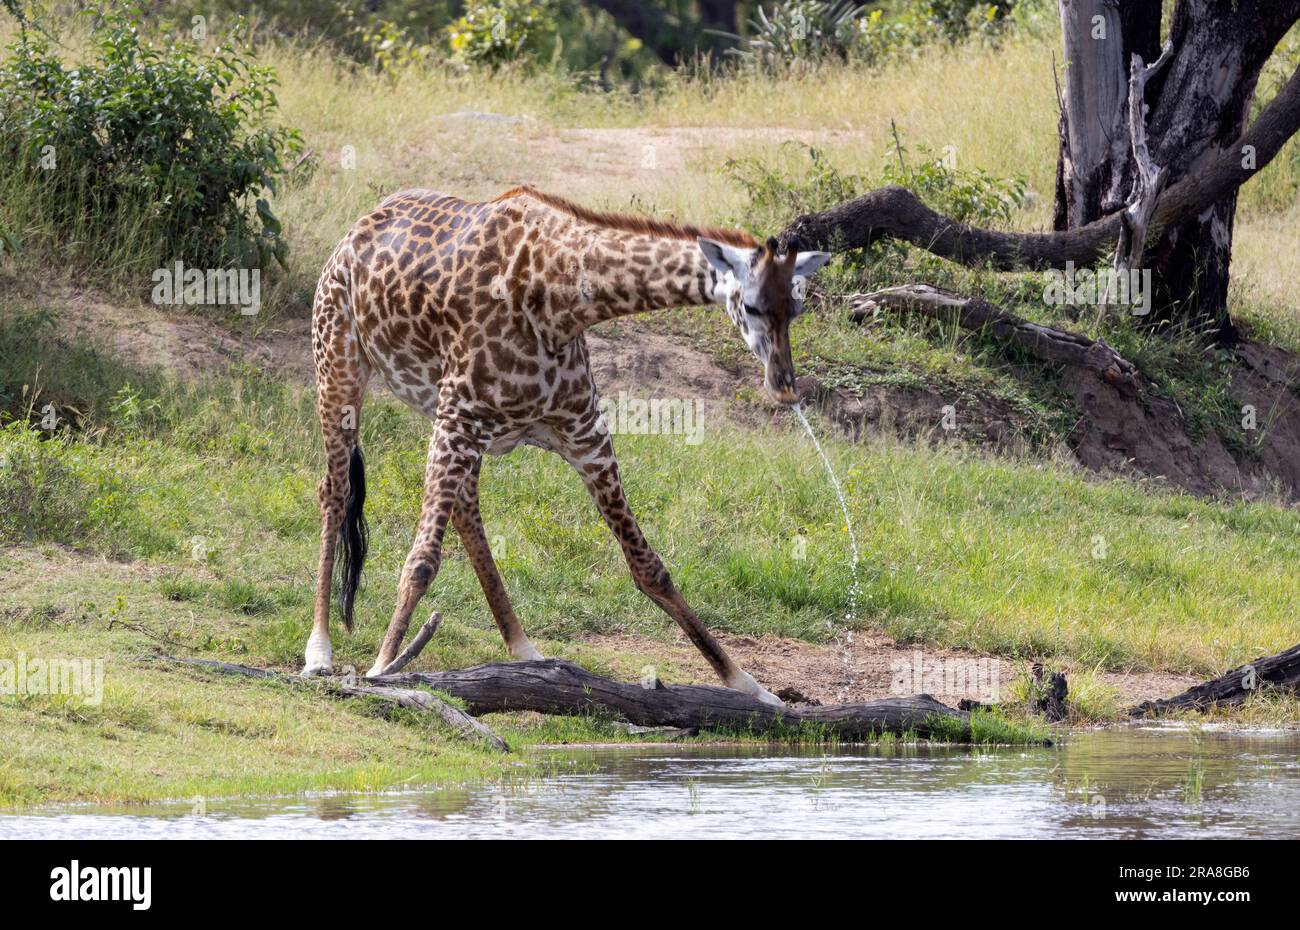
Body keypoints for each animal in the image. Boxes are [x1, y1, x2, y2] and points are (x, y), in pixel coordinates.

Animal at [303, 186, 832, 706]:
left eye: (797, 308)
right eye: (753, 307)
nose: (785, 387)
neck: (559, 305)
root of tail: (357, 229)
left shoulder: (585, 435)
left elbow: (649, 567)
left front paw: (750, 686)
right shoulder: (459, 419)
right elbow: (421, 562)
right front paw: (381, 670)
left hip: (449, 419)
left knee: (466, 511)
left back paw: (524, 649)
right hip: (340, 371)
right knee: (336, 492)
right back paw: (319, 651)